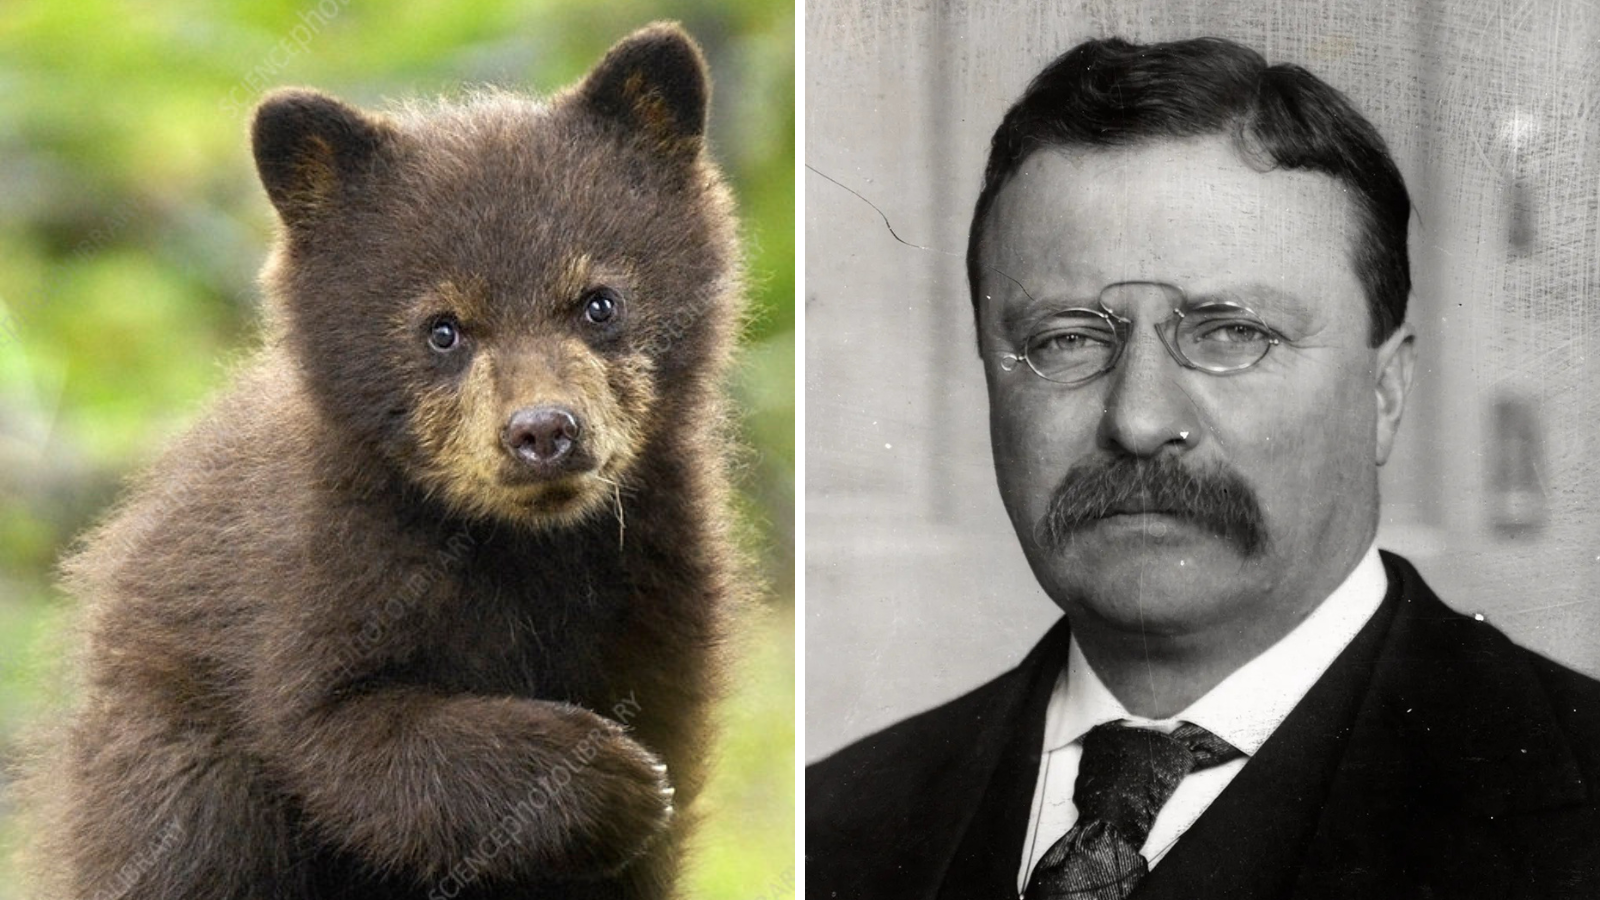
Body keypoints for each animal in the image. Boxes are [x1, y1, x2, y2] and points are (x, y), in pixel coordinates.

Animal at [18, 21, 746, 900]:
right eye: (443, 328)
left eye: (600, 301)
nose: (542, 432)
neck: (522, 549)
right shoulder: (315, 574)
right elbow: (339, 734)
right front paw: (608, 775)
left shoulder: (659, 593)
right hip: (167, 756)